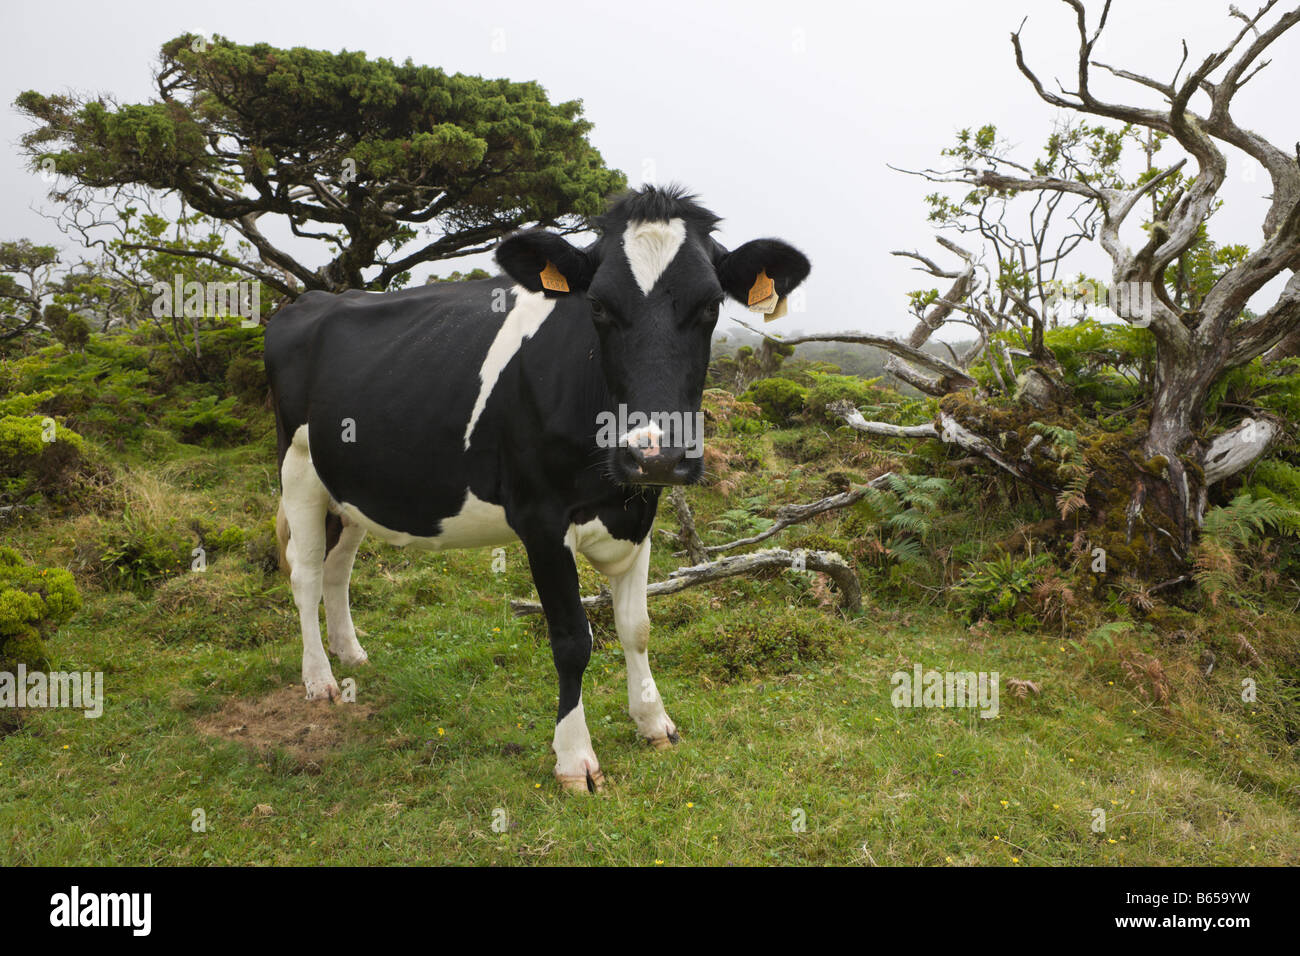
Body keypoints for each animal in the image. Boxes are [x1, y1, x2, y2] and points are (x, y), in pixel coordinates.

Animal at [263, 185, 810, 791]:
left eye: (711, 305)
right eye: (598, 305)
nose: (656, 452)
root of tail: (315, 299)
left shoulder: (640, 509)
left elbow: (637, 627)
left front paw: (654, 722)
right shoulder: (541, 520)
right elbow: (572, 639)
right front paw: (575, 761)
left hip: (352, 486)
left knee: (338, 569)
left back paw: (351, 655)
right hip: (299, 468)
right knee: (306, 574)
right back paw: (319, 679)